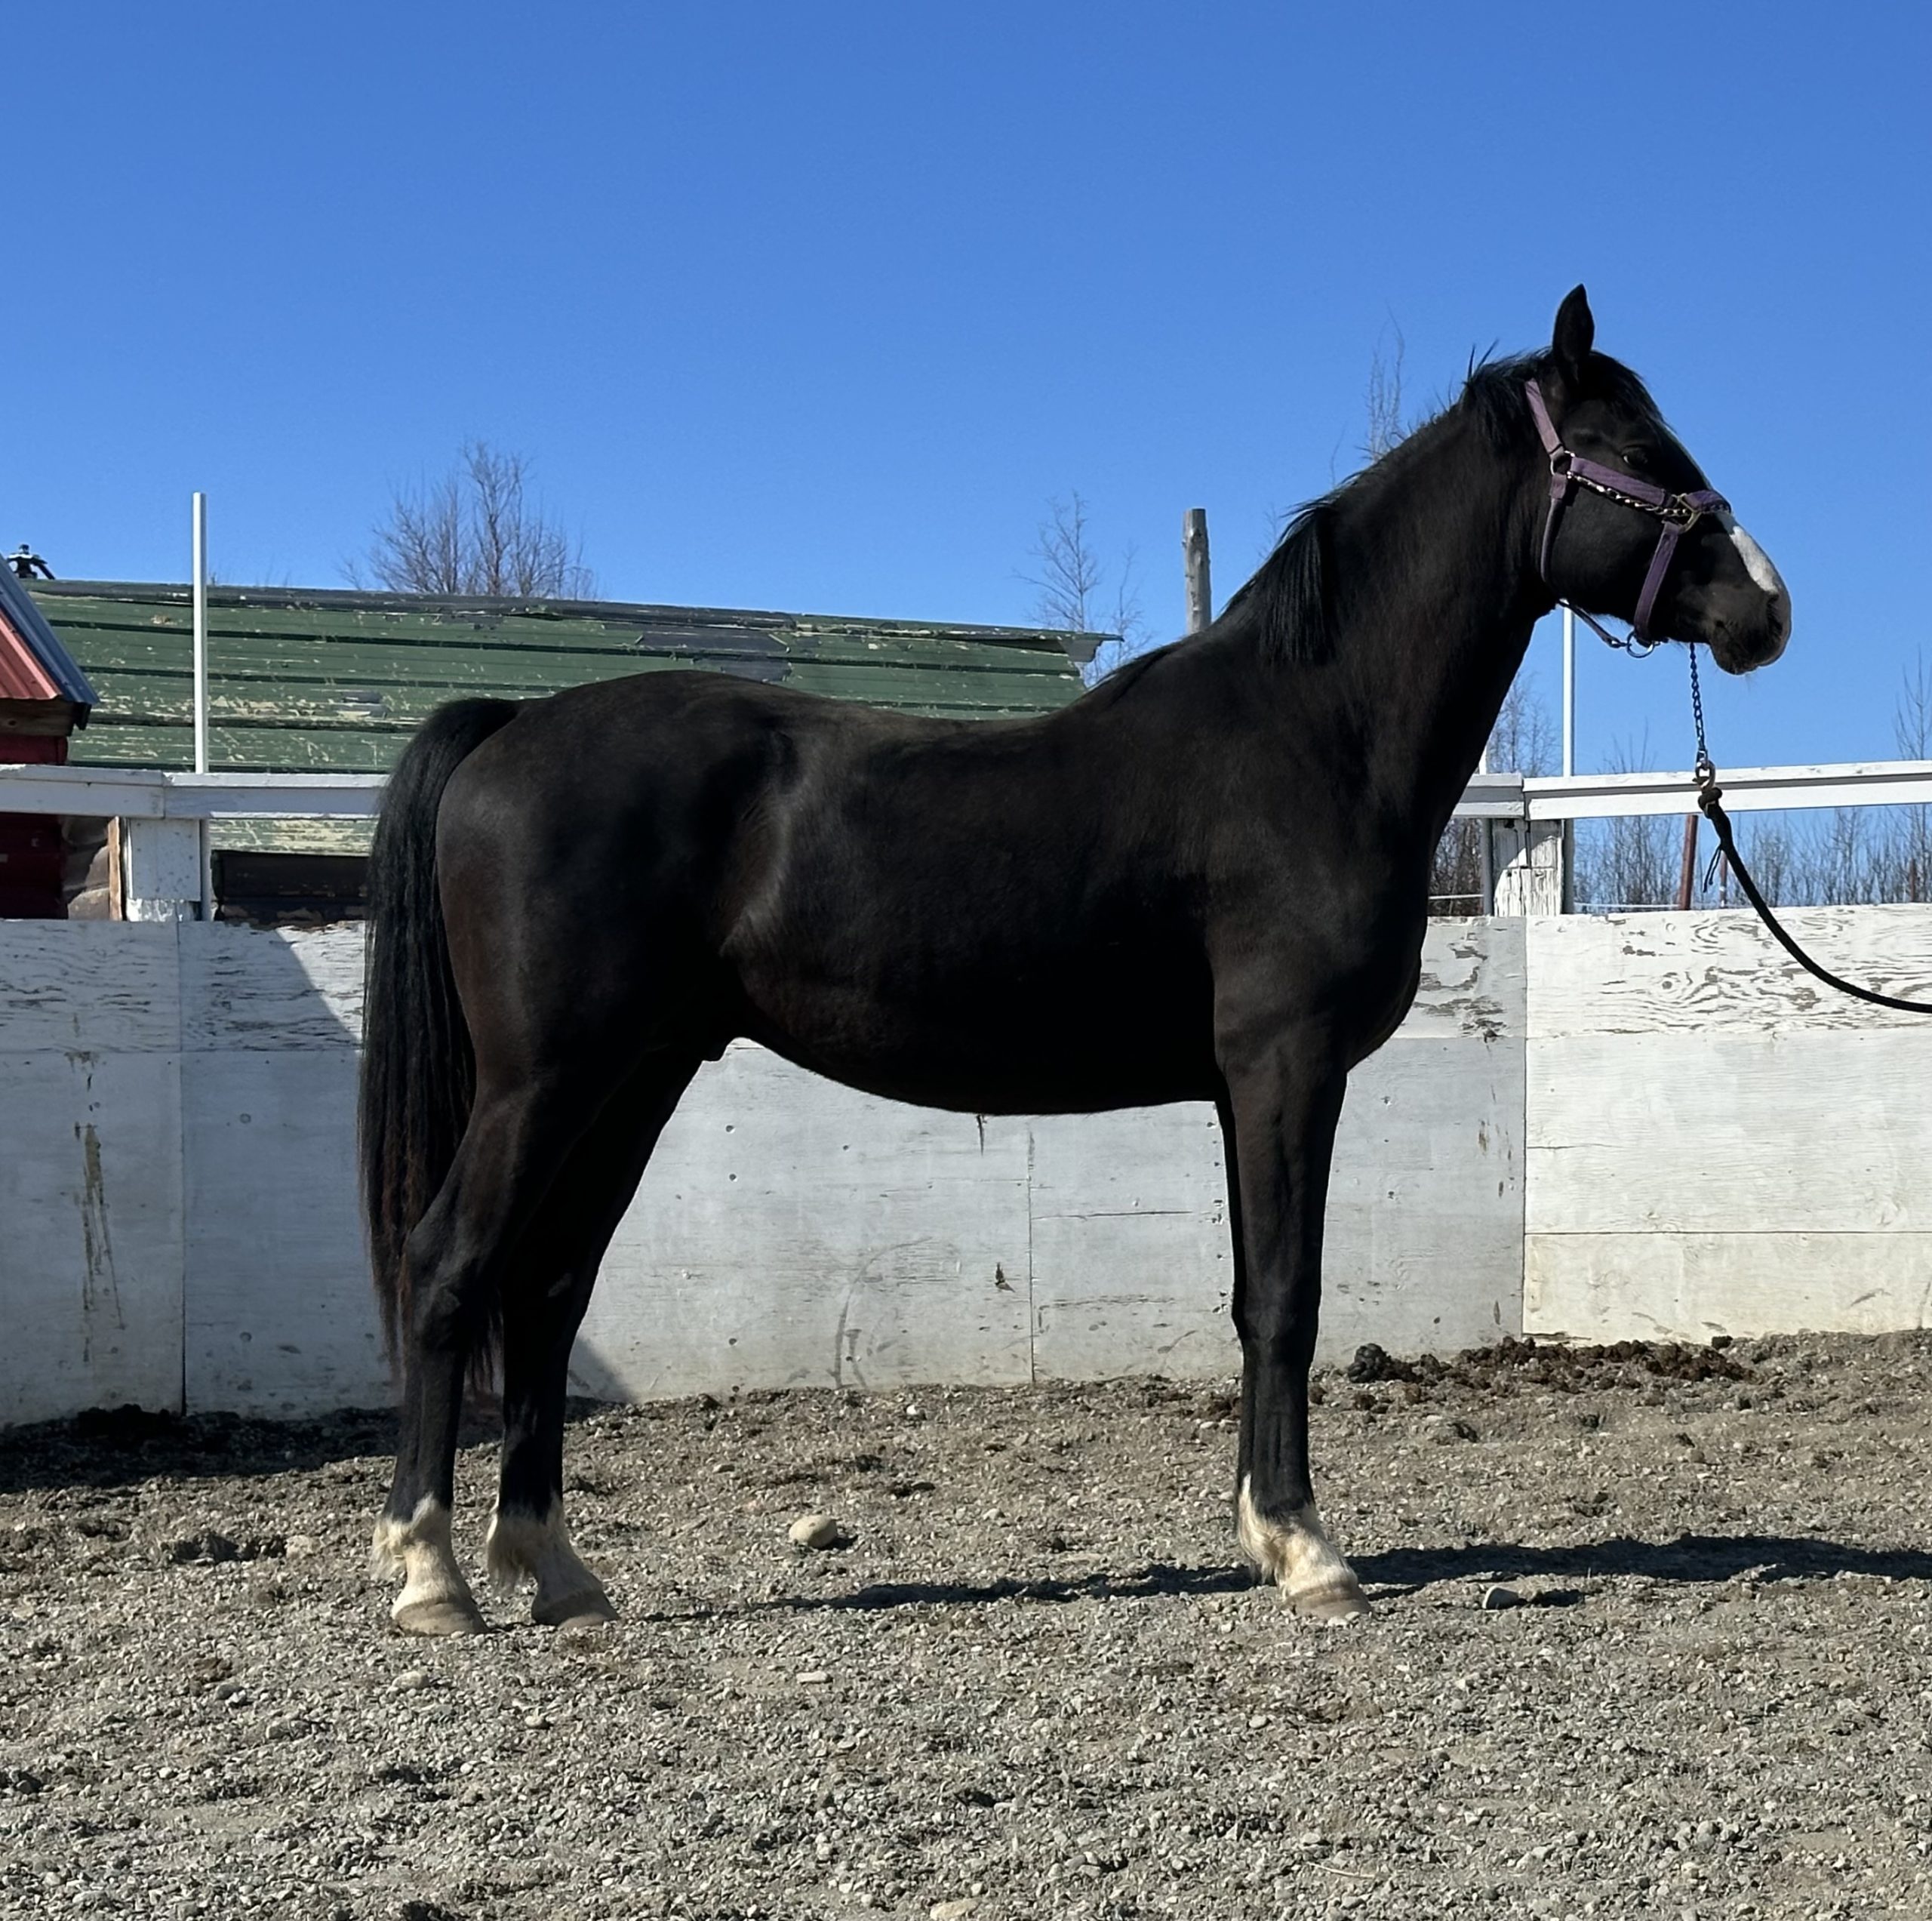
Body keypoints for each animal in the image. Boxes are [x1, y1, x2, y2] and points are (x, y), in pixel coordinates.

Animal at [361, 287, 1790, 1634]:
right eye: (1635, 451)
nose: (1765, 608)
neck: (1313, 737)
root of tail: (510, 729)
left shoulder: (1245, 1086)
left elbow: (1253, 1297)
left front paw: (1266, 1532)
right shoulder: (1286, 1067)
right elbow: (1289, 1297)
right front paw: (1307, 1551)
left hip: (633, 1078)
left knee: (547, 1288)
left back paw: (557, 1571)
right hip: (546, 1082)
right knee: (449, 1268)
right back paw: (431, 1576)